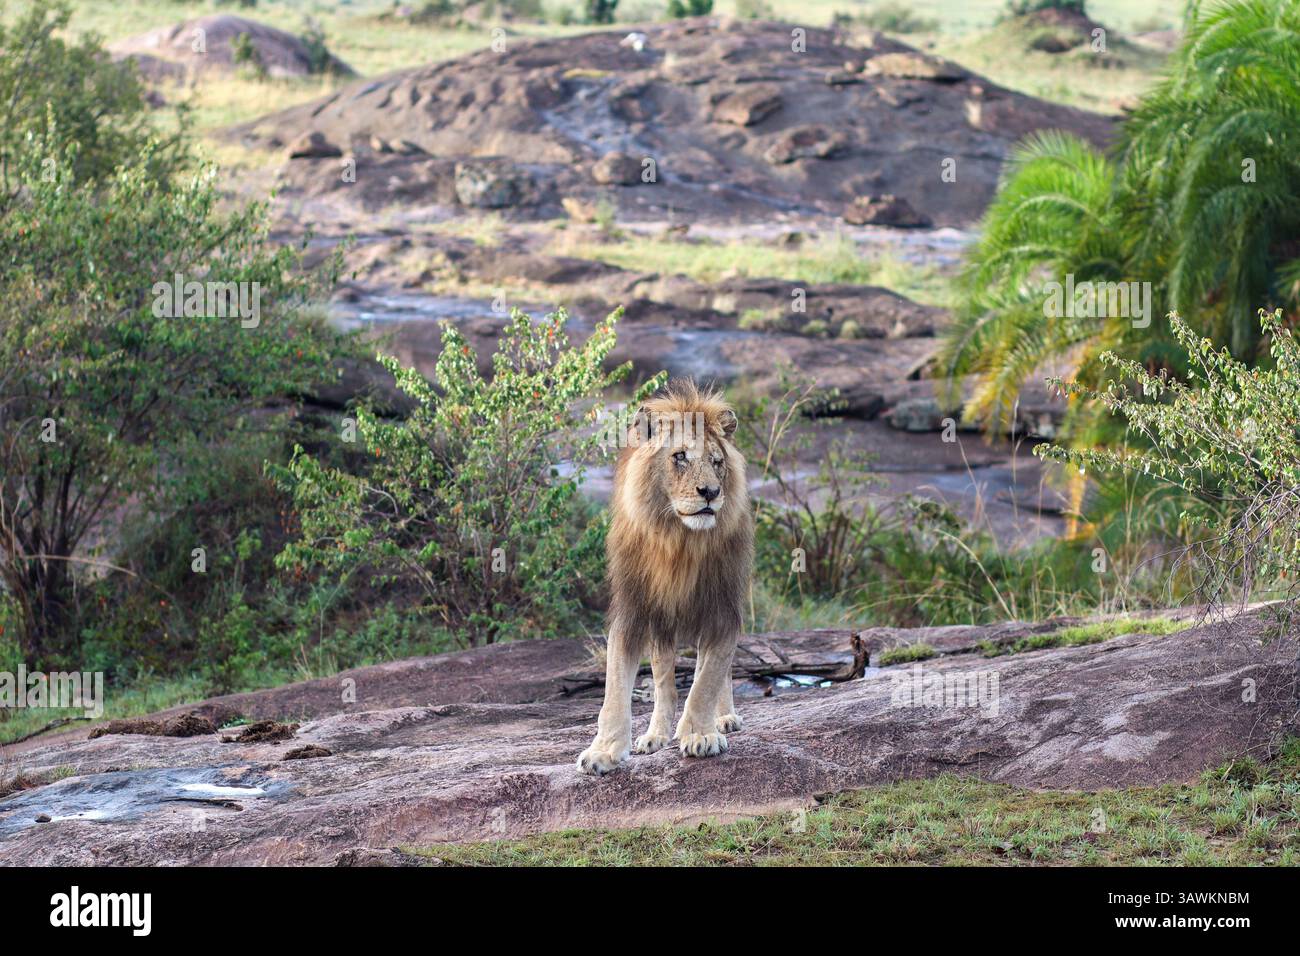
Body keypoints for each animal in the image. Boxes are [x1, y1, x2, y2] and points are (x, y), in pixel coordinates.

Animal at [577, 380, 753, 776]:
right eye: (680, 457)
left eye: (717, 463)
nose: (711, 493)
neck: (679, 541)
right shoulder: (633, 611)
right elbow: (615, 690)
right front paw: (604, 751)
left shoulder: (723, 611)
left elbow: (706, 681)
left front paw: (700, 735)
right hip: (661, 628)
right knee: (664, 684)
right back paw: (654, 735)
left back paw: (724, 718)